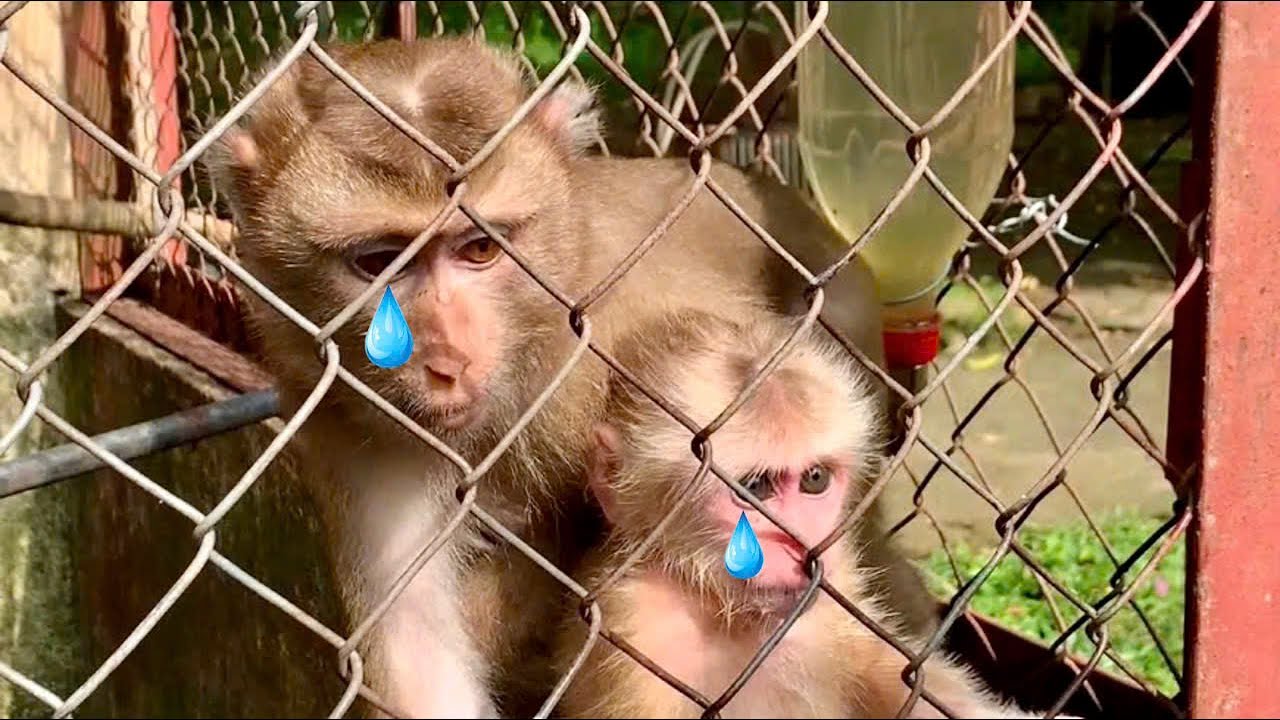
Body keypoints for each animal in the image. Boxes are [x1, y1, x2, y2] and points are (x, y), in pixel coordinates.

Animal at [551, 308, 1035, 719]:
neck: (728, 613)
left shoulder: (836, 580)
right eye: (755, 488)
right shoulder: (638, 627)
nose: (800, 543)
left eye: (815, 479)